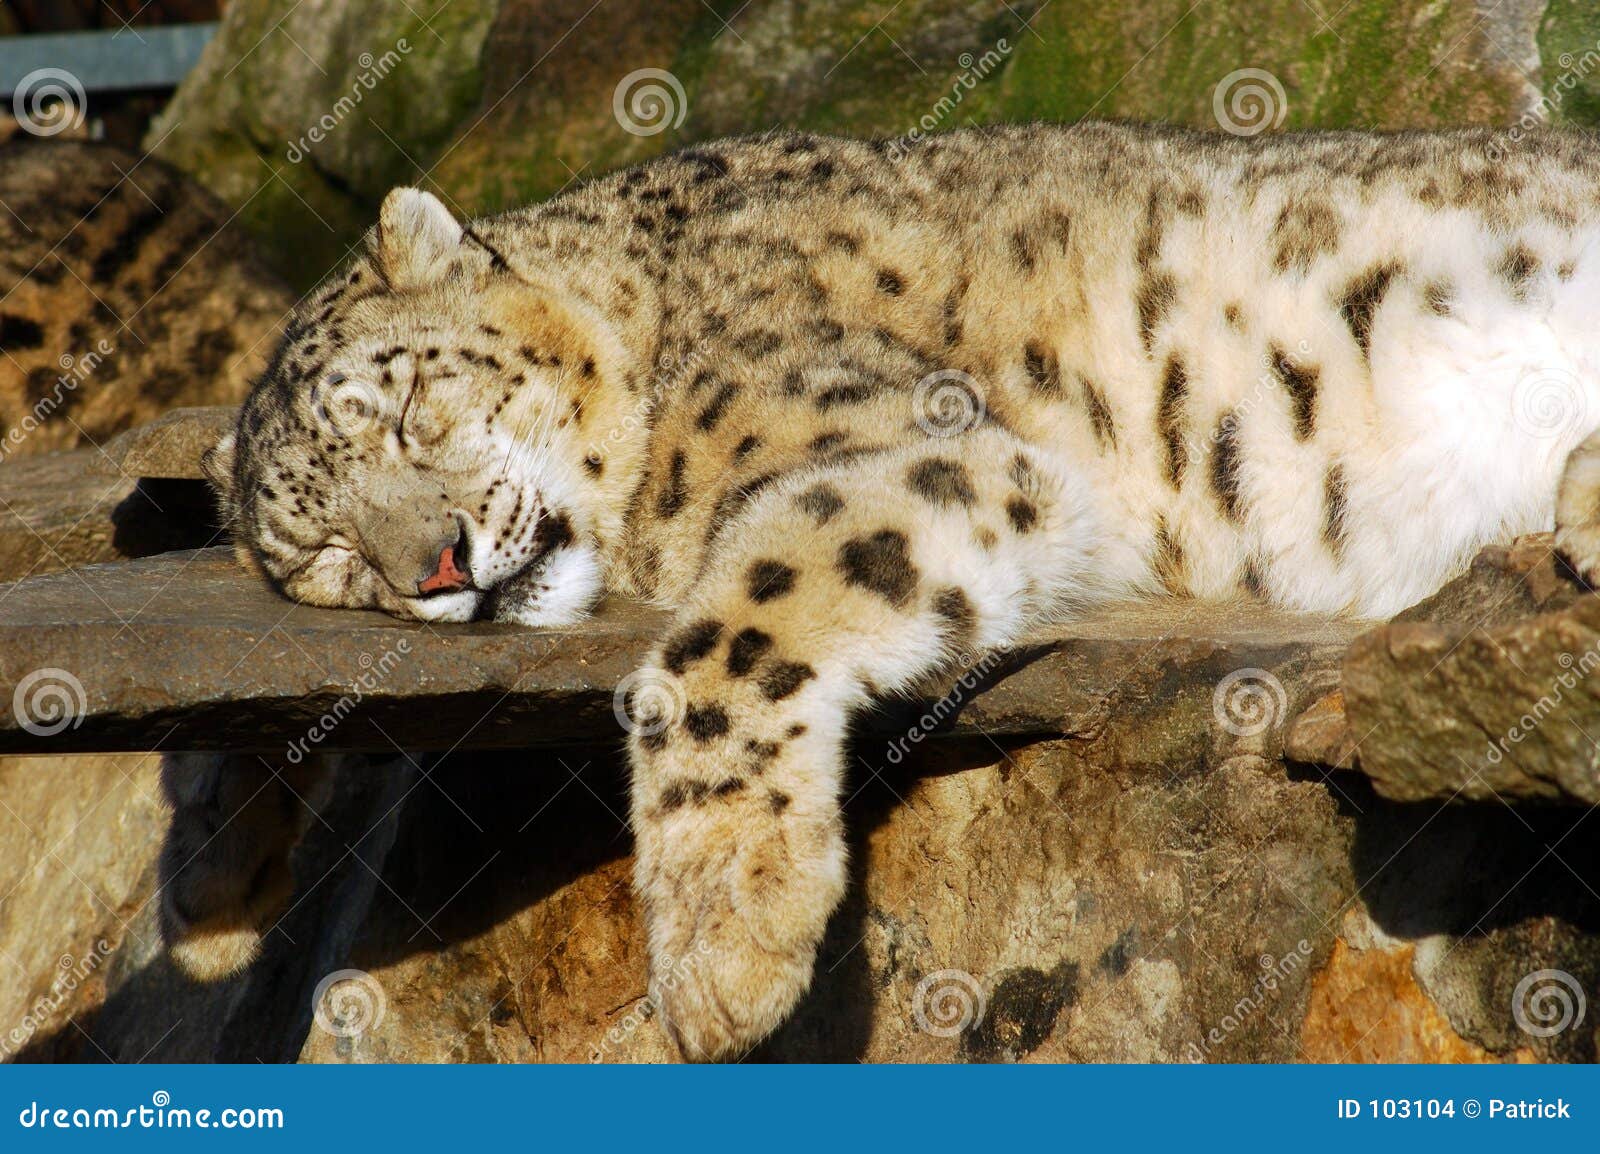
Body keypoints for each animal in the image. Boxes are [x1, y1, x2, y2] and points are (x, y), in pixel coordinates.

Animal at [192, 121, 1600, 1060]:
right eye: (326, 556)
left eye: (411, 408)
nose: (433, 565)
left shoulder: (899, 445)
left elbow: (716, 645)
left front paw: (722, 947)